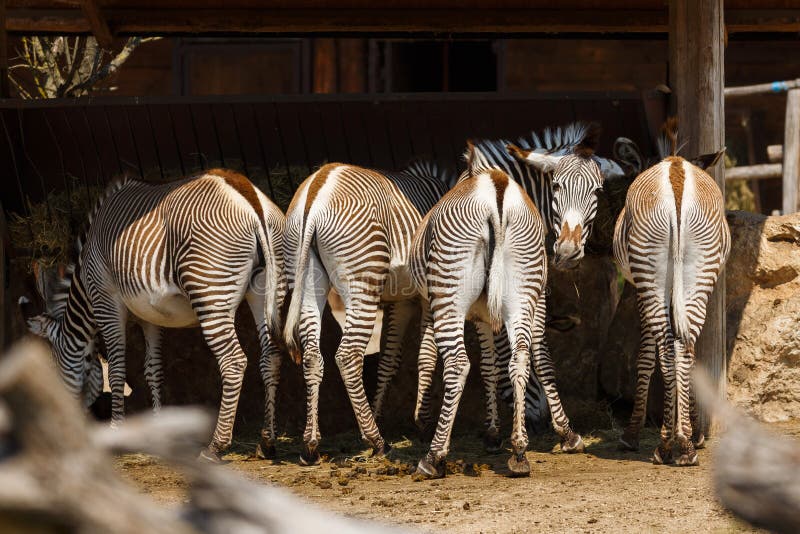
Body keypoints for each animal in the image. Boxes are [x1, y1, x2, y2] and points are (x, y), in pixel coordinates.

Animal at [22, 169, 286, 463]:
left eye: (52, 367)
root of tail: (248, 196)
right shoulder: (150, 317)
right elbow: (153, 369)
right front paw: (160, 430)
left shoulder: (106, 302)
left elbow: (117, 370)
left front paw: (114, 433)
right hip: (265, 290)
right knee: (271, 357)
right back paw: (267, 441)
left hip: (210, 293)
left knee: (234, 362)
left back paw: (215, 447)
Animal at [412, 146, 583, 479]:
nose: (542, 422)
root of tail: (496, 188)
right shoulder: (488, 312)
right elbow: (496, 365)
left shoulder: (453, 309)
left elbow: (440, 358)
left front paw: (425, 421)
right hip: (523, 285)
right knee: (520, 359)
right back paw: (519, 452)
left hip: (450, 293)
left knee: (457, 364)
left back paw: (433, 457)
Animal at [613, 120, 729, 466]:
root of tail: (676, 175)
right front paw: (694, 431)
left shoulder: (637, 288)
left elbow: (645, 355)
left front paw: (631, 433)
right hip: (697, 271)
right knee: (686, 346)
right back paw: (686, 444)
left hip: (651, 277)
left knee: (666, 349)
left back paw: (666, 444)